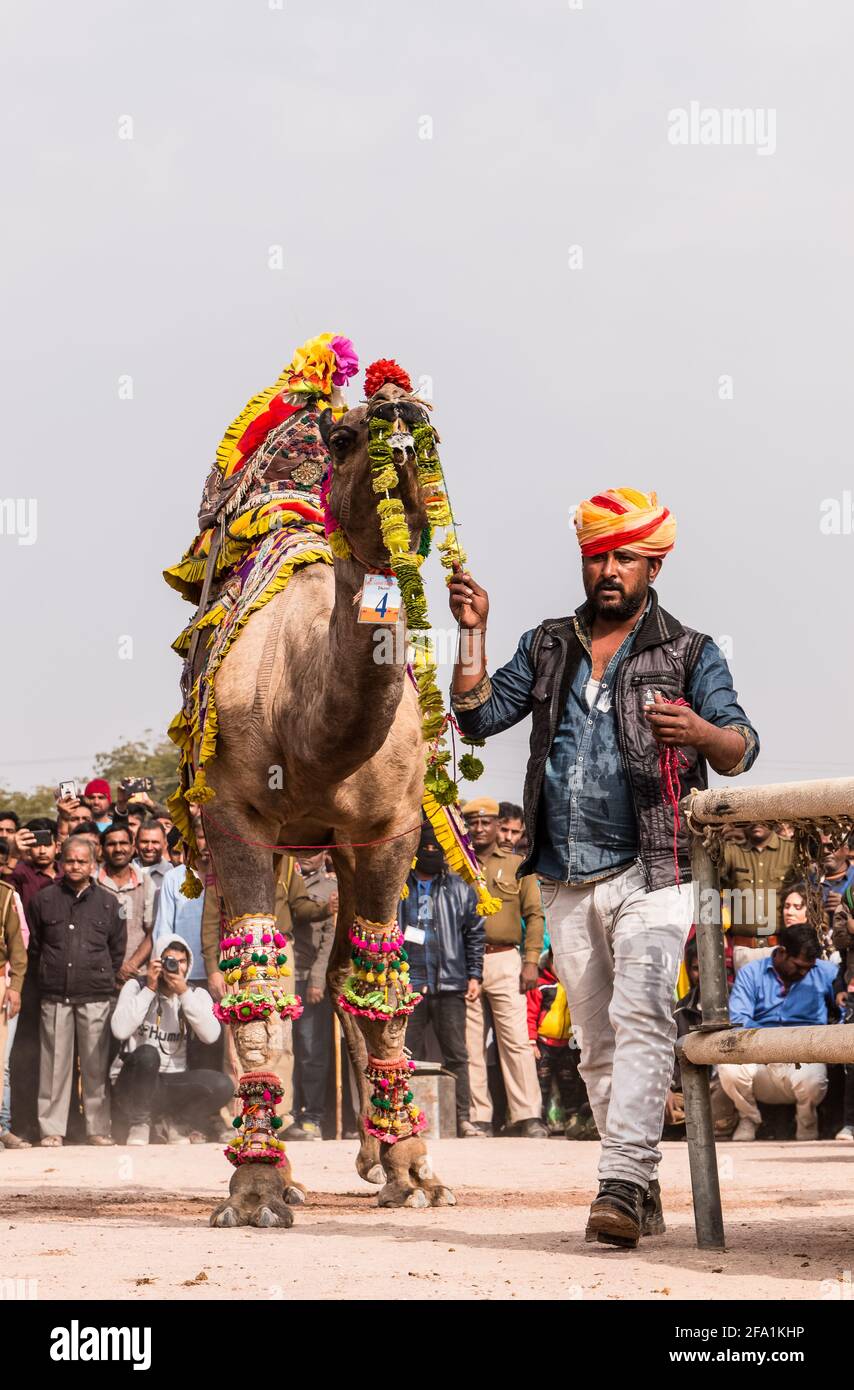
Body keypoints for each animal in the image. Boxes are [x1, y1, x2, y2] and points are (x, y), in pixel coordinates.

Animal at [200, 378, 456, 1227]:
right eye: (344, 439)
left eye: (434, 432)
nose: (401, 415)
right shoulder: (237, 818)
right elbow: (258, 989)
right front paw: (254, 1193)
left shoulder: (387, 831)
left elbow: (380, 987)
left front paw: (415, 1172)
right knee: (252, 979)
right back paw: (281, 1164)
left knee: (345, 975)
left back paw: (376, 1156)